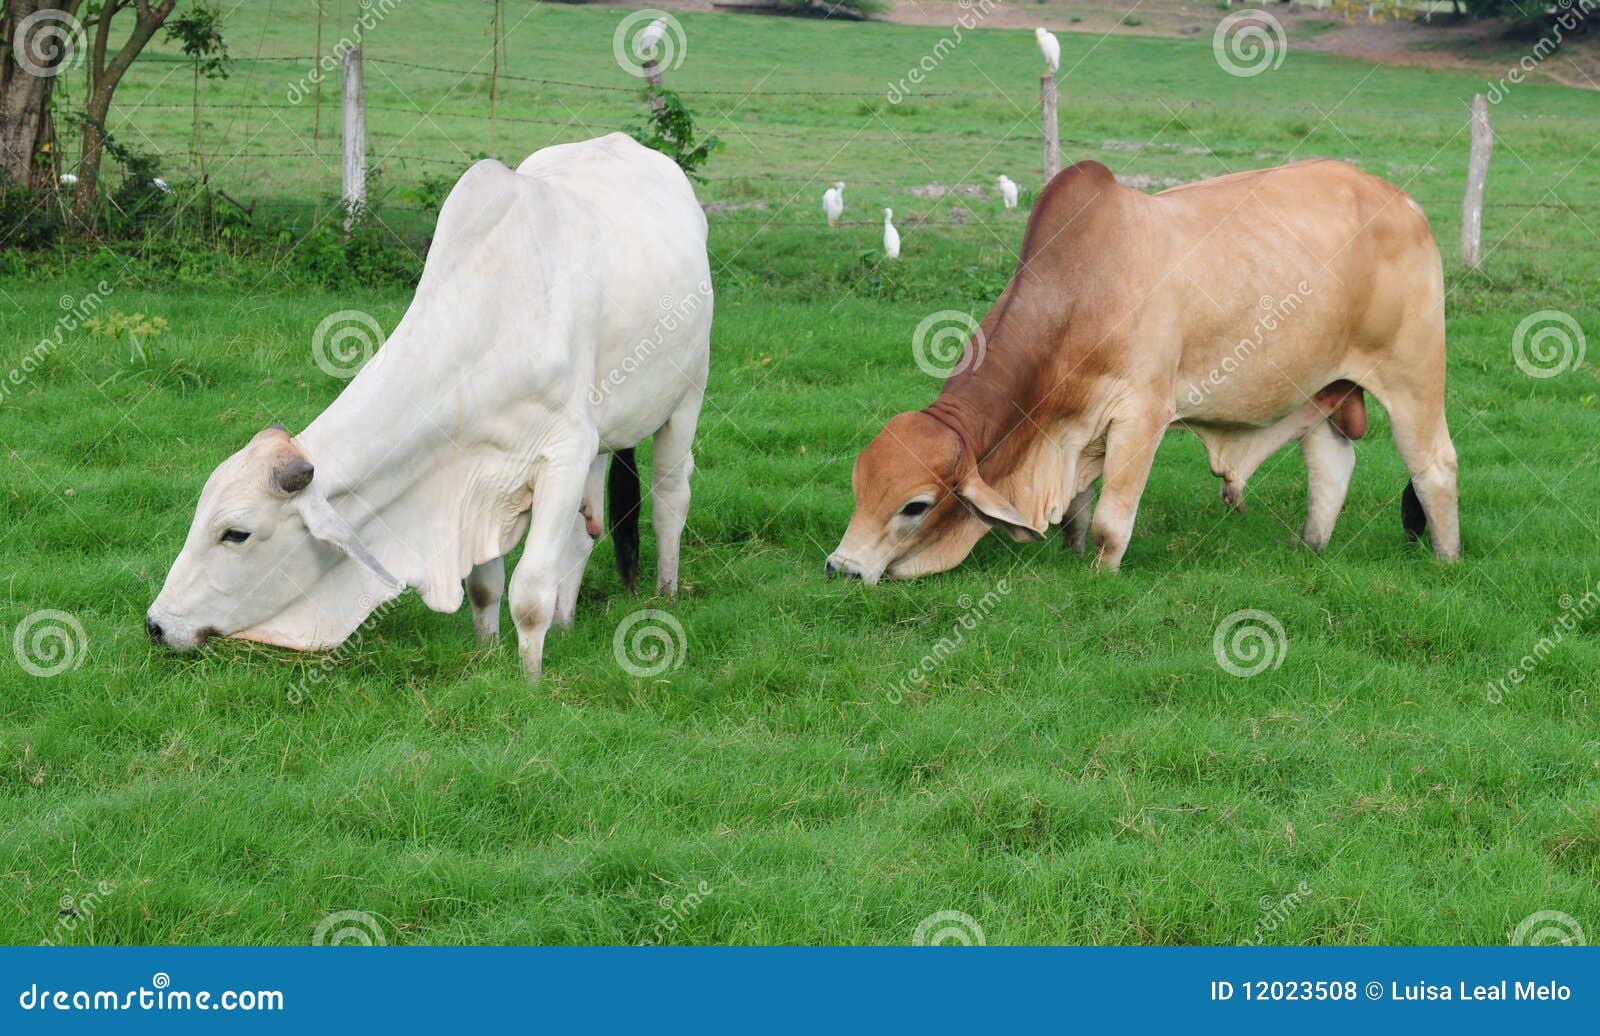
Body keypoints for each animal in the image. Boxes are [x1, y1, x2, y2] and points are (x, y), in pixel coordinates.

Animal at [146, 134, 712, 680]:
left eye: (235, 534)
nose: (157, 625)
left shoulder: (564, 453)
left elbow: (529, 593)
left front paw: (530, 681)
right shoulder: (483, 483)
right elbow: (486, 585)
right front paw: (487, 652)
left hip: (687, 396)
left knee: (671, 495)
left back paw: (666, 592)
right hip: (602, 438)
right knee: (582, 532)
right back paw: (569, 621)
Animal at [827, 158, 1457, 584]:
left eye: (915, 506)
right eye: (858, 484)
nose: (841, 567)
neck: (1082, 294)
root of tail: (1408, 205)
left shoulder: (1142, 415)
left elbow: (1111, 521)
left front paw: (1098, 578)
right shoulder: (1077, 428)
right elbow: (1076, 515)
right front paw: (1070, 552)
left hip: (1414, 375)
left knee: (1435, 467)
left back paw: (1446, 560)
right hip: (1325, 388)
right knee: (1331, 463)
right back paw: (1310, 549)